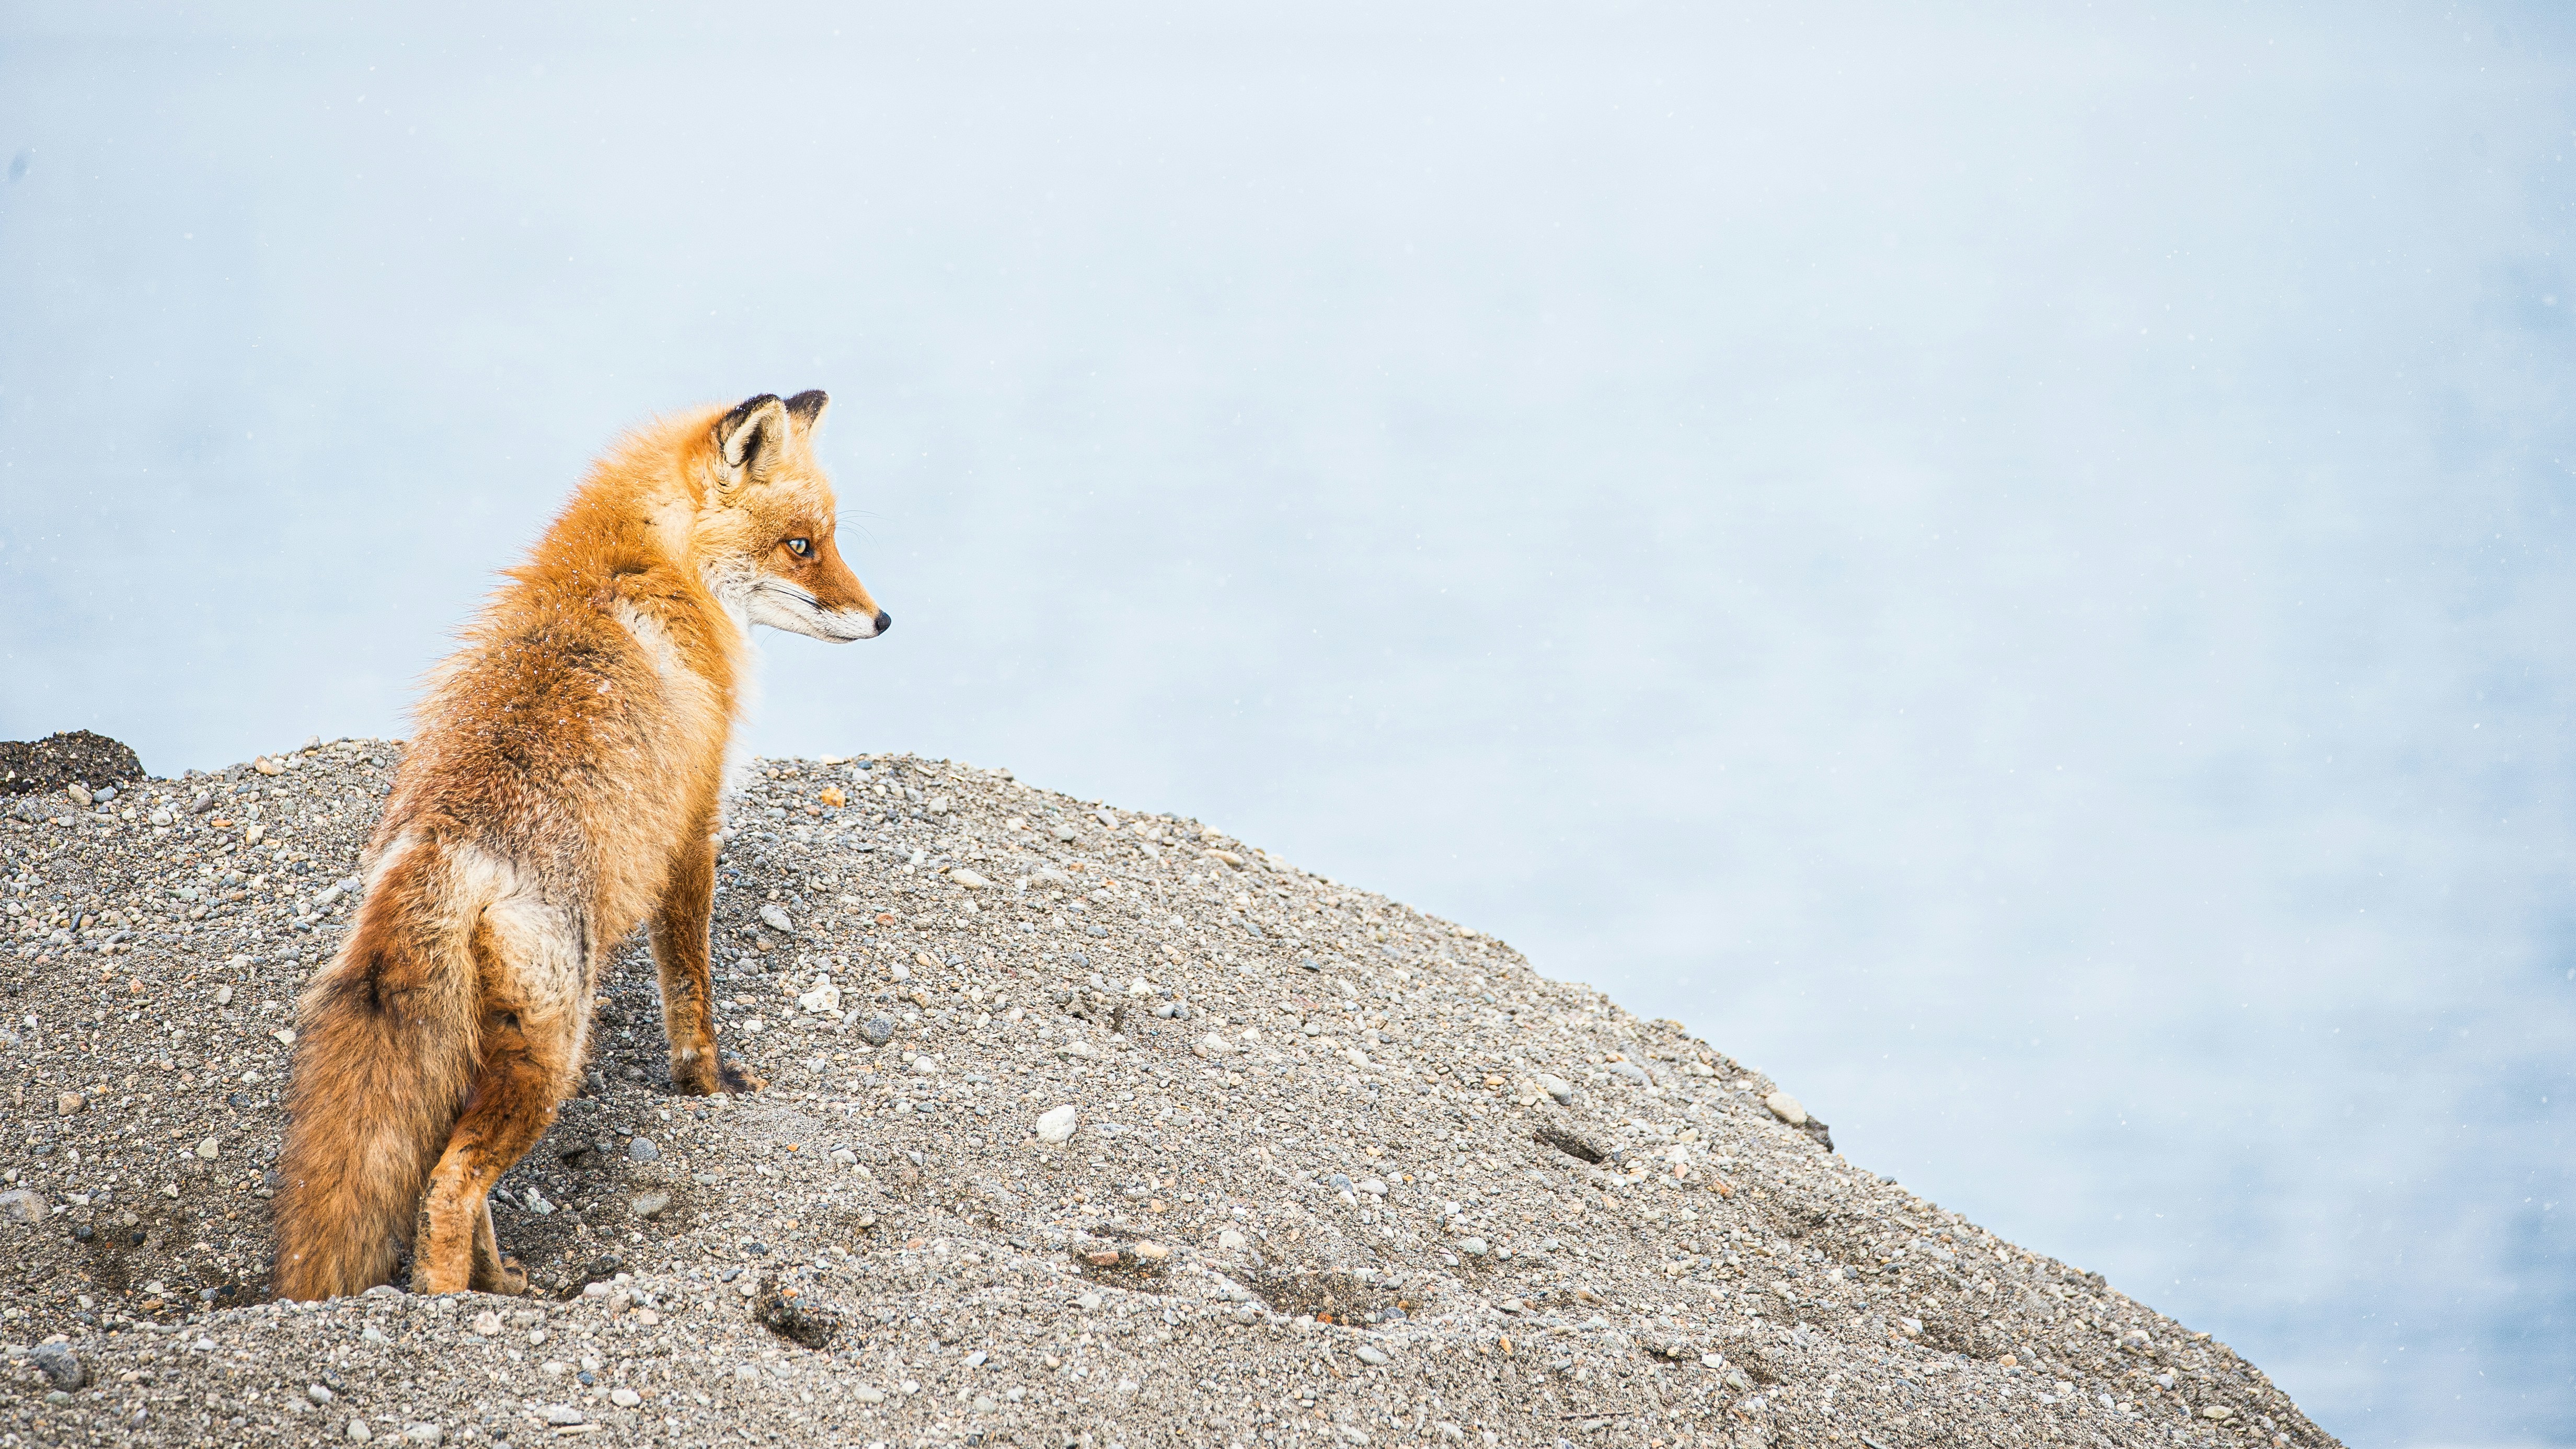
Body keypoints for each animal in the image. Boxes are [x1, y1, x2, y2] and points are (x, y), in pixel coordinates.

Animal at [271, 390, 888, 1300]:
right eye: (801, 546)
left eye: (827, 539)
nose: (883, 619)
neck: (645, 565)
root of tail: (443, 850)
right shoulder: (693, 825)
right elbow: (691, 993)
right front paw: (705, 1085)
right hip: (553, 1052)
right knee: (451, 1185)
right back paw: (449, 1303)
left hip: (483, 1051)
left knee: (452, 1179)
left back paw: (501, 1283)